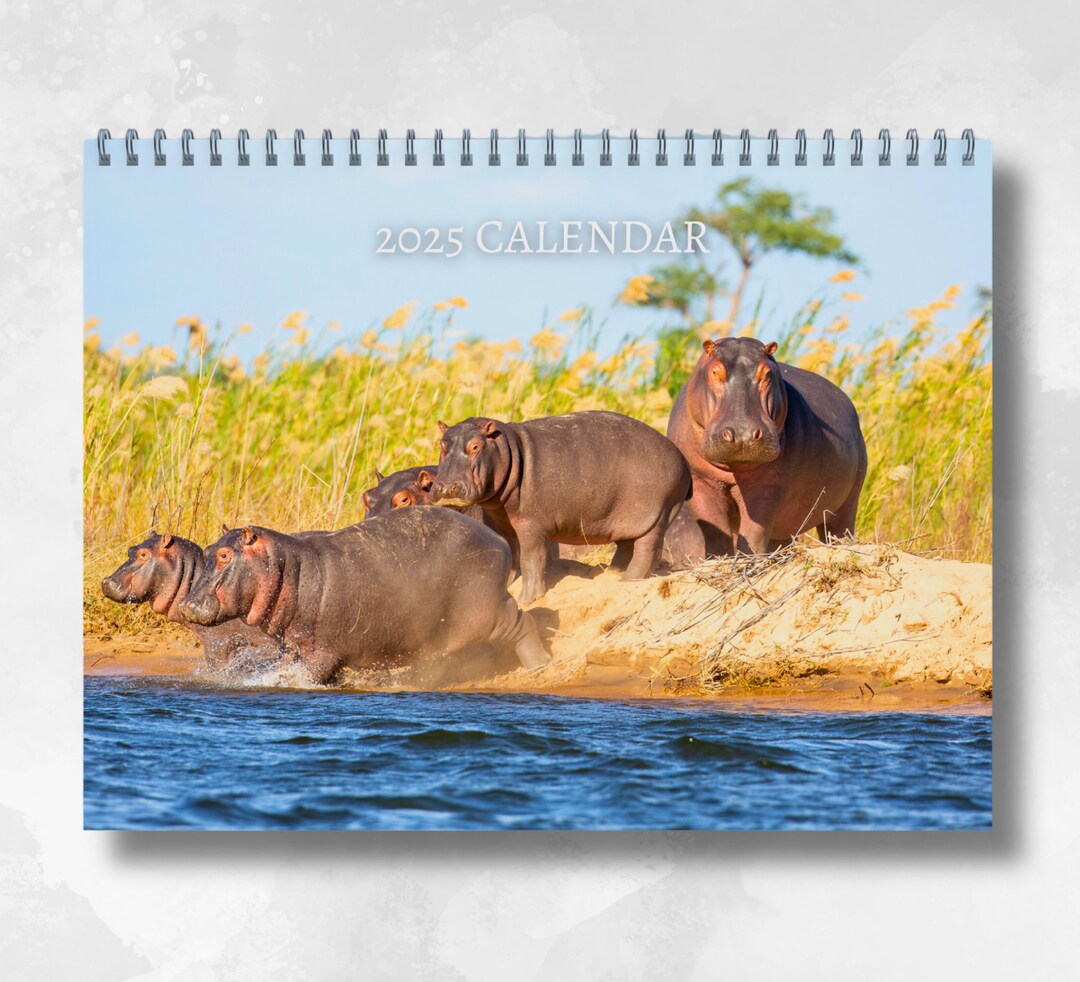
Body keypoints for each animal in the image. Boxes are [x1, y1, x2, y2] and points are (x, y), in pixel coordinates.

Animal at [179, 506, 549, 685]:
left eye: (224, 554)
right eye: (208, 549)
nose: (186, 603)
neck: (288, 567)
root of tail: (499, 540)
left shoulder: (323, 651)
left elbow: (307, 676)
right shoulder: (295, 646)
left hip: (487, 612)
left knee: (523, 623)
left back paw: (539, 666)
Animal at [430, 410, 692, 605]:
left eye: (475, 446)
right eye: (442, 446)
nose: (446, 487)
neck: (506, 448)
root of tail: (682, 459)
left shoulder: (531, 525)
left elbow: (531, 559)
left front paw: (526, 600)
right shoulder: (502, 524)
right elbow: (510, 556)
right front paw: (508, 587)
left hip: (657, 516)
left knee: (647, 551)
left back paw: (626, 581)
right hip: (626, 519)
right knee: (626, 546)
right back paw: (607, 575)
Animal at [666, 337, 867, 559]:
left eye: (768, 373)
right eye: (715, 371)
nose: (743, 434)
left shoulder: (767, 488)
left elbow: (753, 533)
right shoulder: (701, 481)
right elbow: (715, 531)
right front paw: (718, 560)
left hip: (846, 505)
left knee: (838, 531)